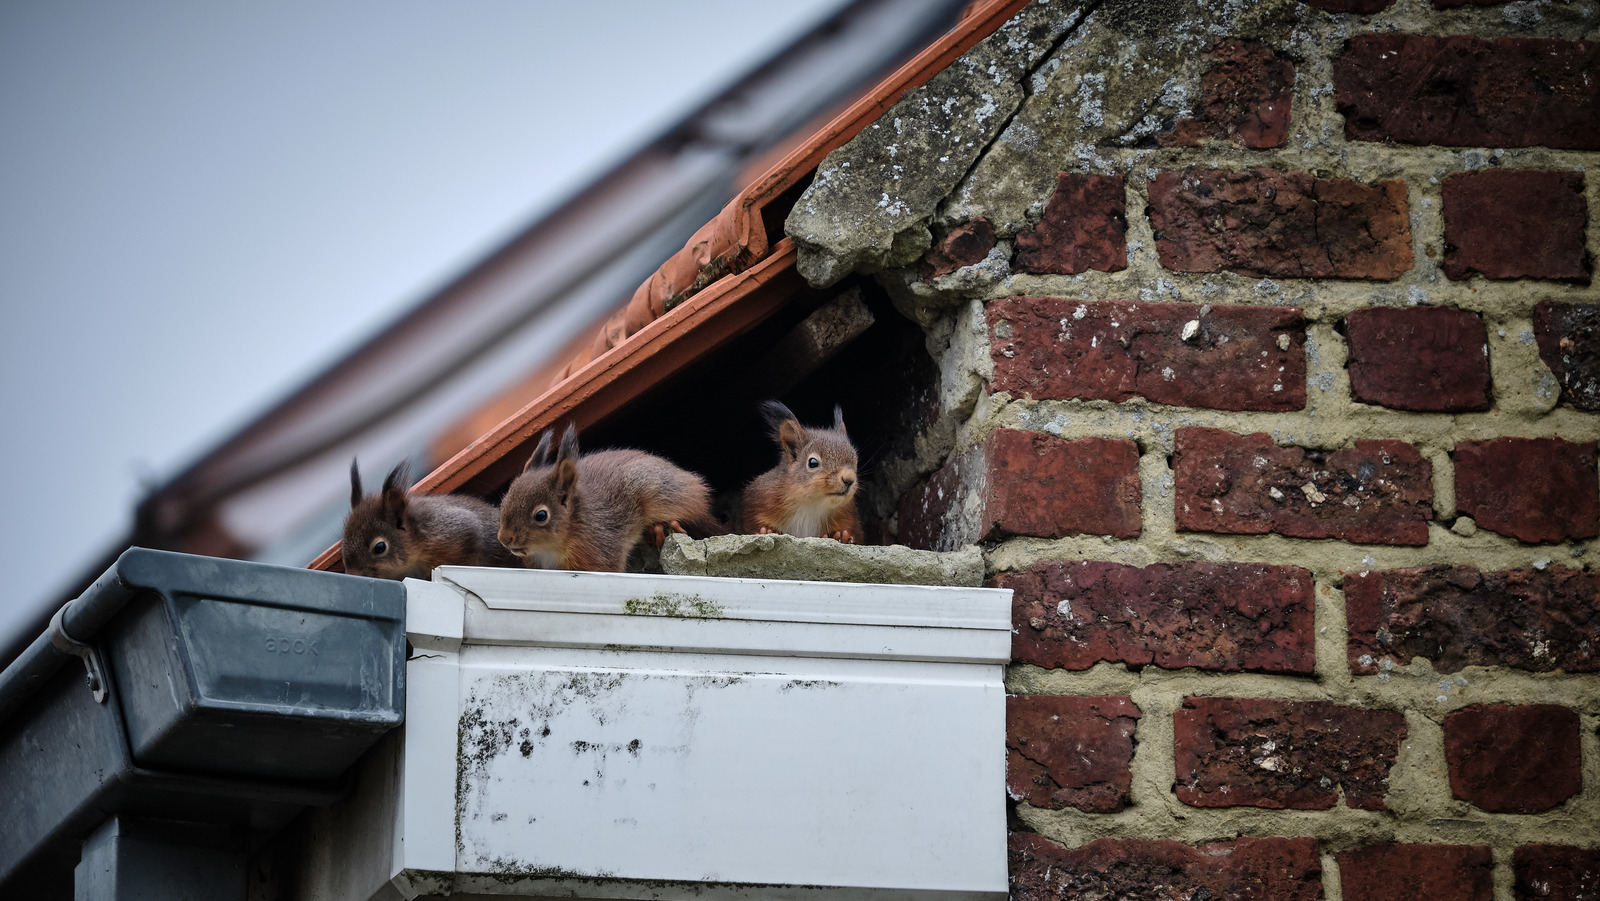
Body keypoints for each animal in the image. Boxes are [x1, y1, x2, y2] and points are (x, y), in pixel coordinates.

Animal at [738, 400, 862, 544]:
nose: (849, 480)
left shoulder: (848, 514)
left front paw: (841, 535)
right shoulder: (759, 500)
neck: (811, 503)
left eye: (856, 459)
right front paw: (766, 531)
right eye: (813, 463)